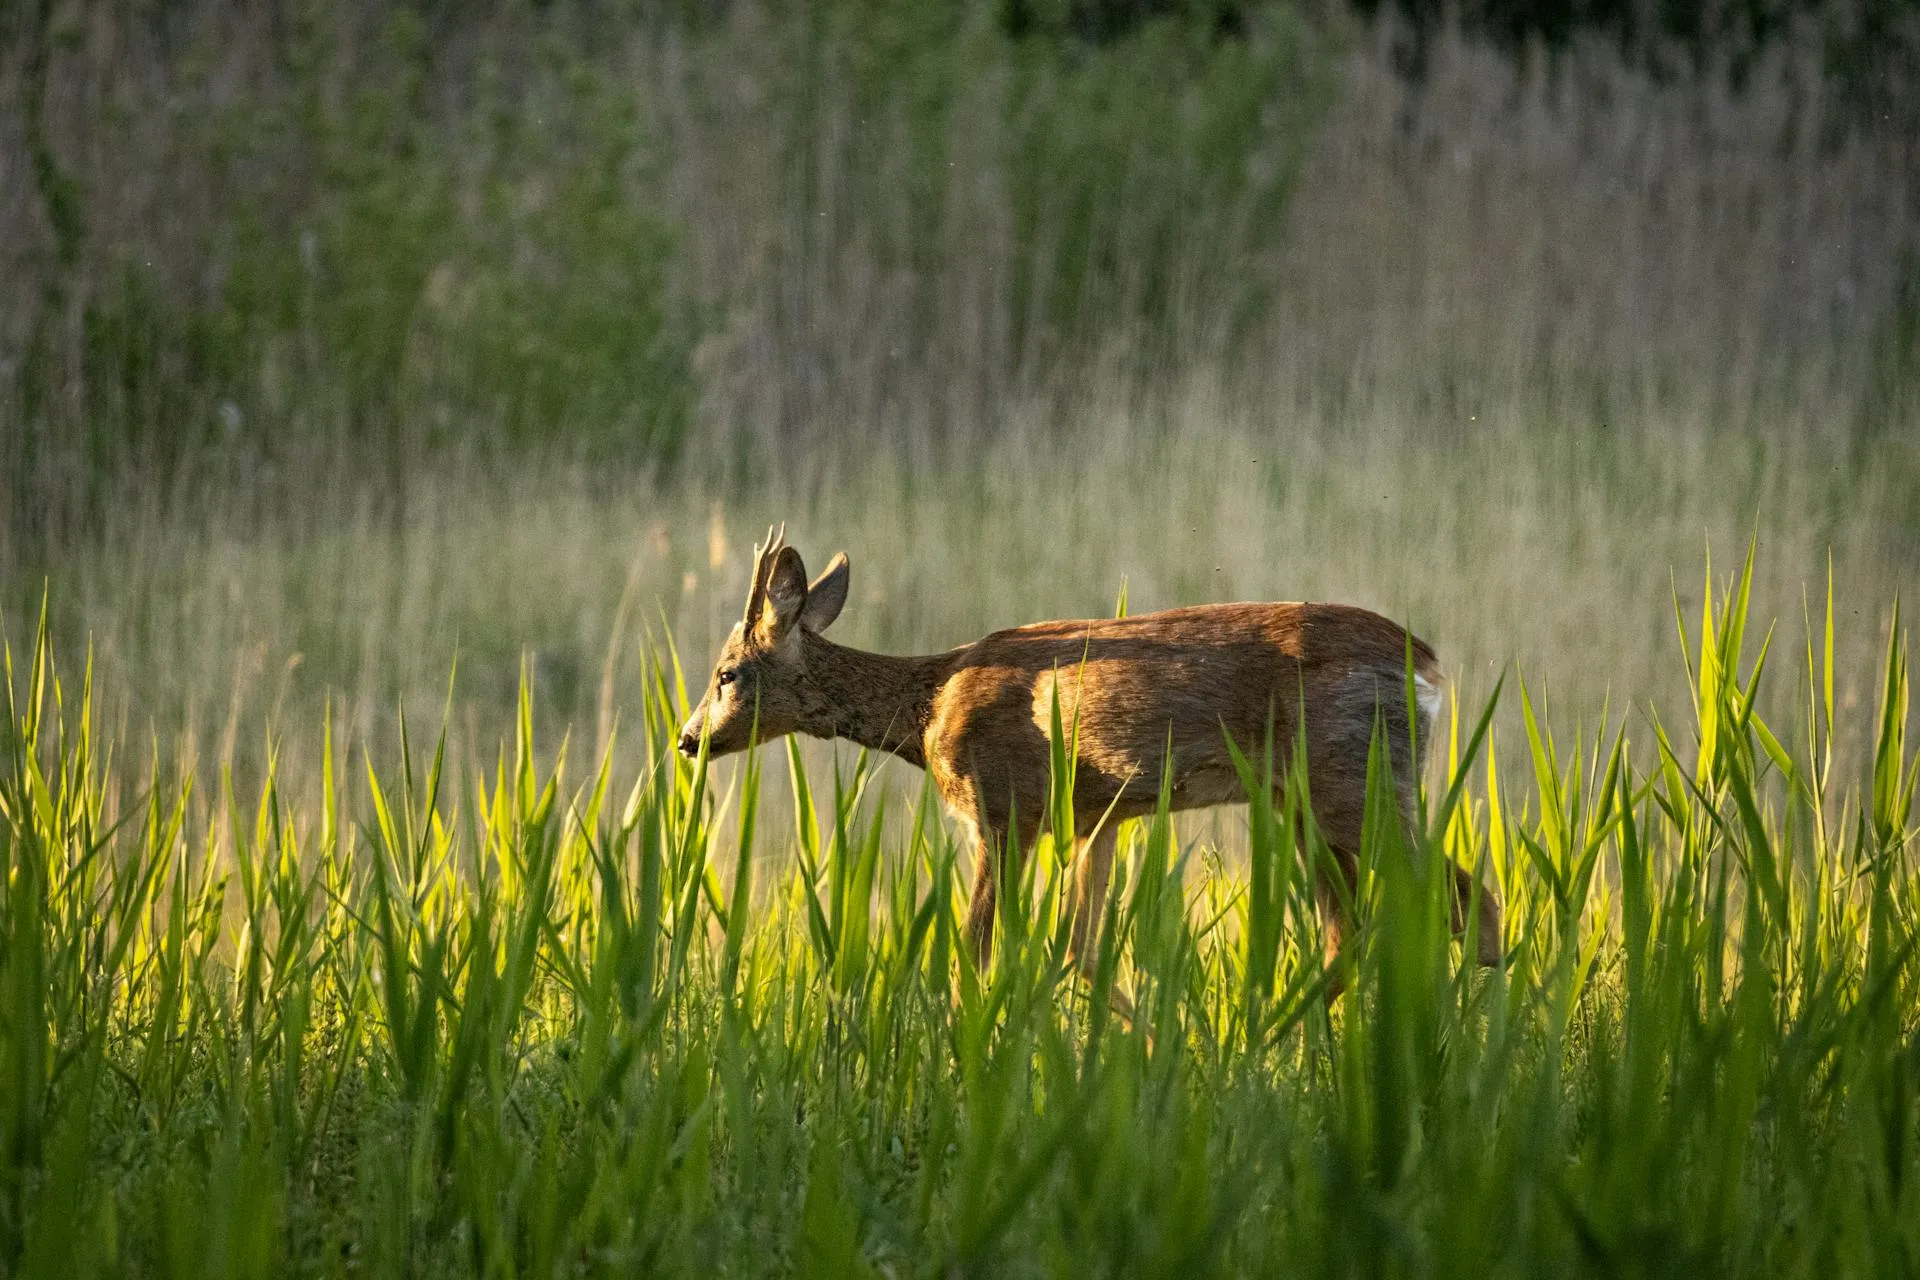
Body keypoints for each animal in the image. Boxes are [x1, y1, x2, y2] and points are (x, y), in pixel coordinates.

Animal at [676, 529, 1503, 1002]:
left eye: (726, 674)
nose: (686, 741)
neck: (929, 706)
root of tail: (1427, 665)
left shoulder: (1002, 807)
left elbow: (974, 953)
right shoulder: (1096, 817)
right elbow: (1083, 954)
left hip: (1352, 781)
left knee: (1473, 900)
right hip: (1304, 798)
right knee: (1353, 930)